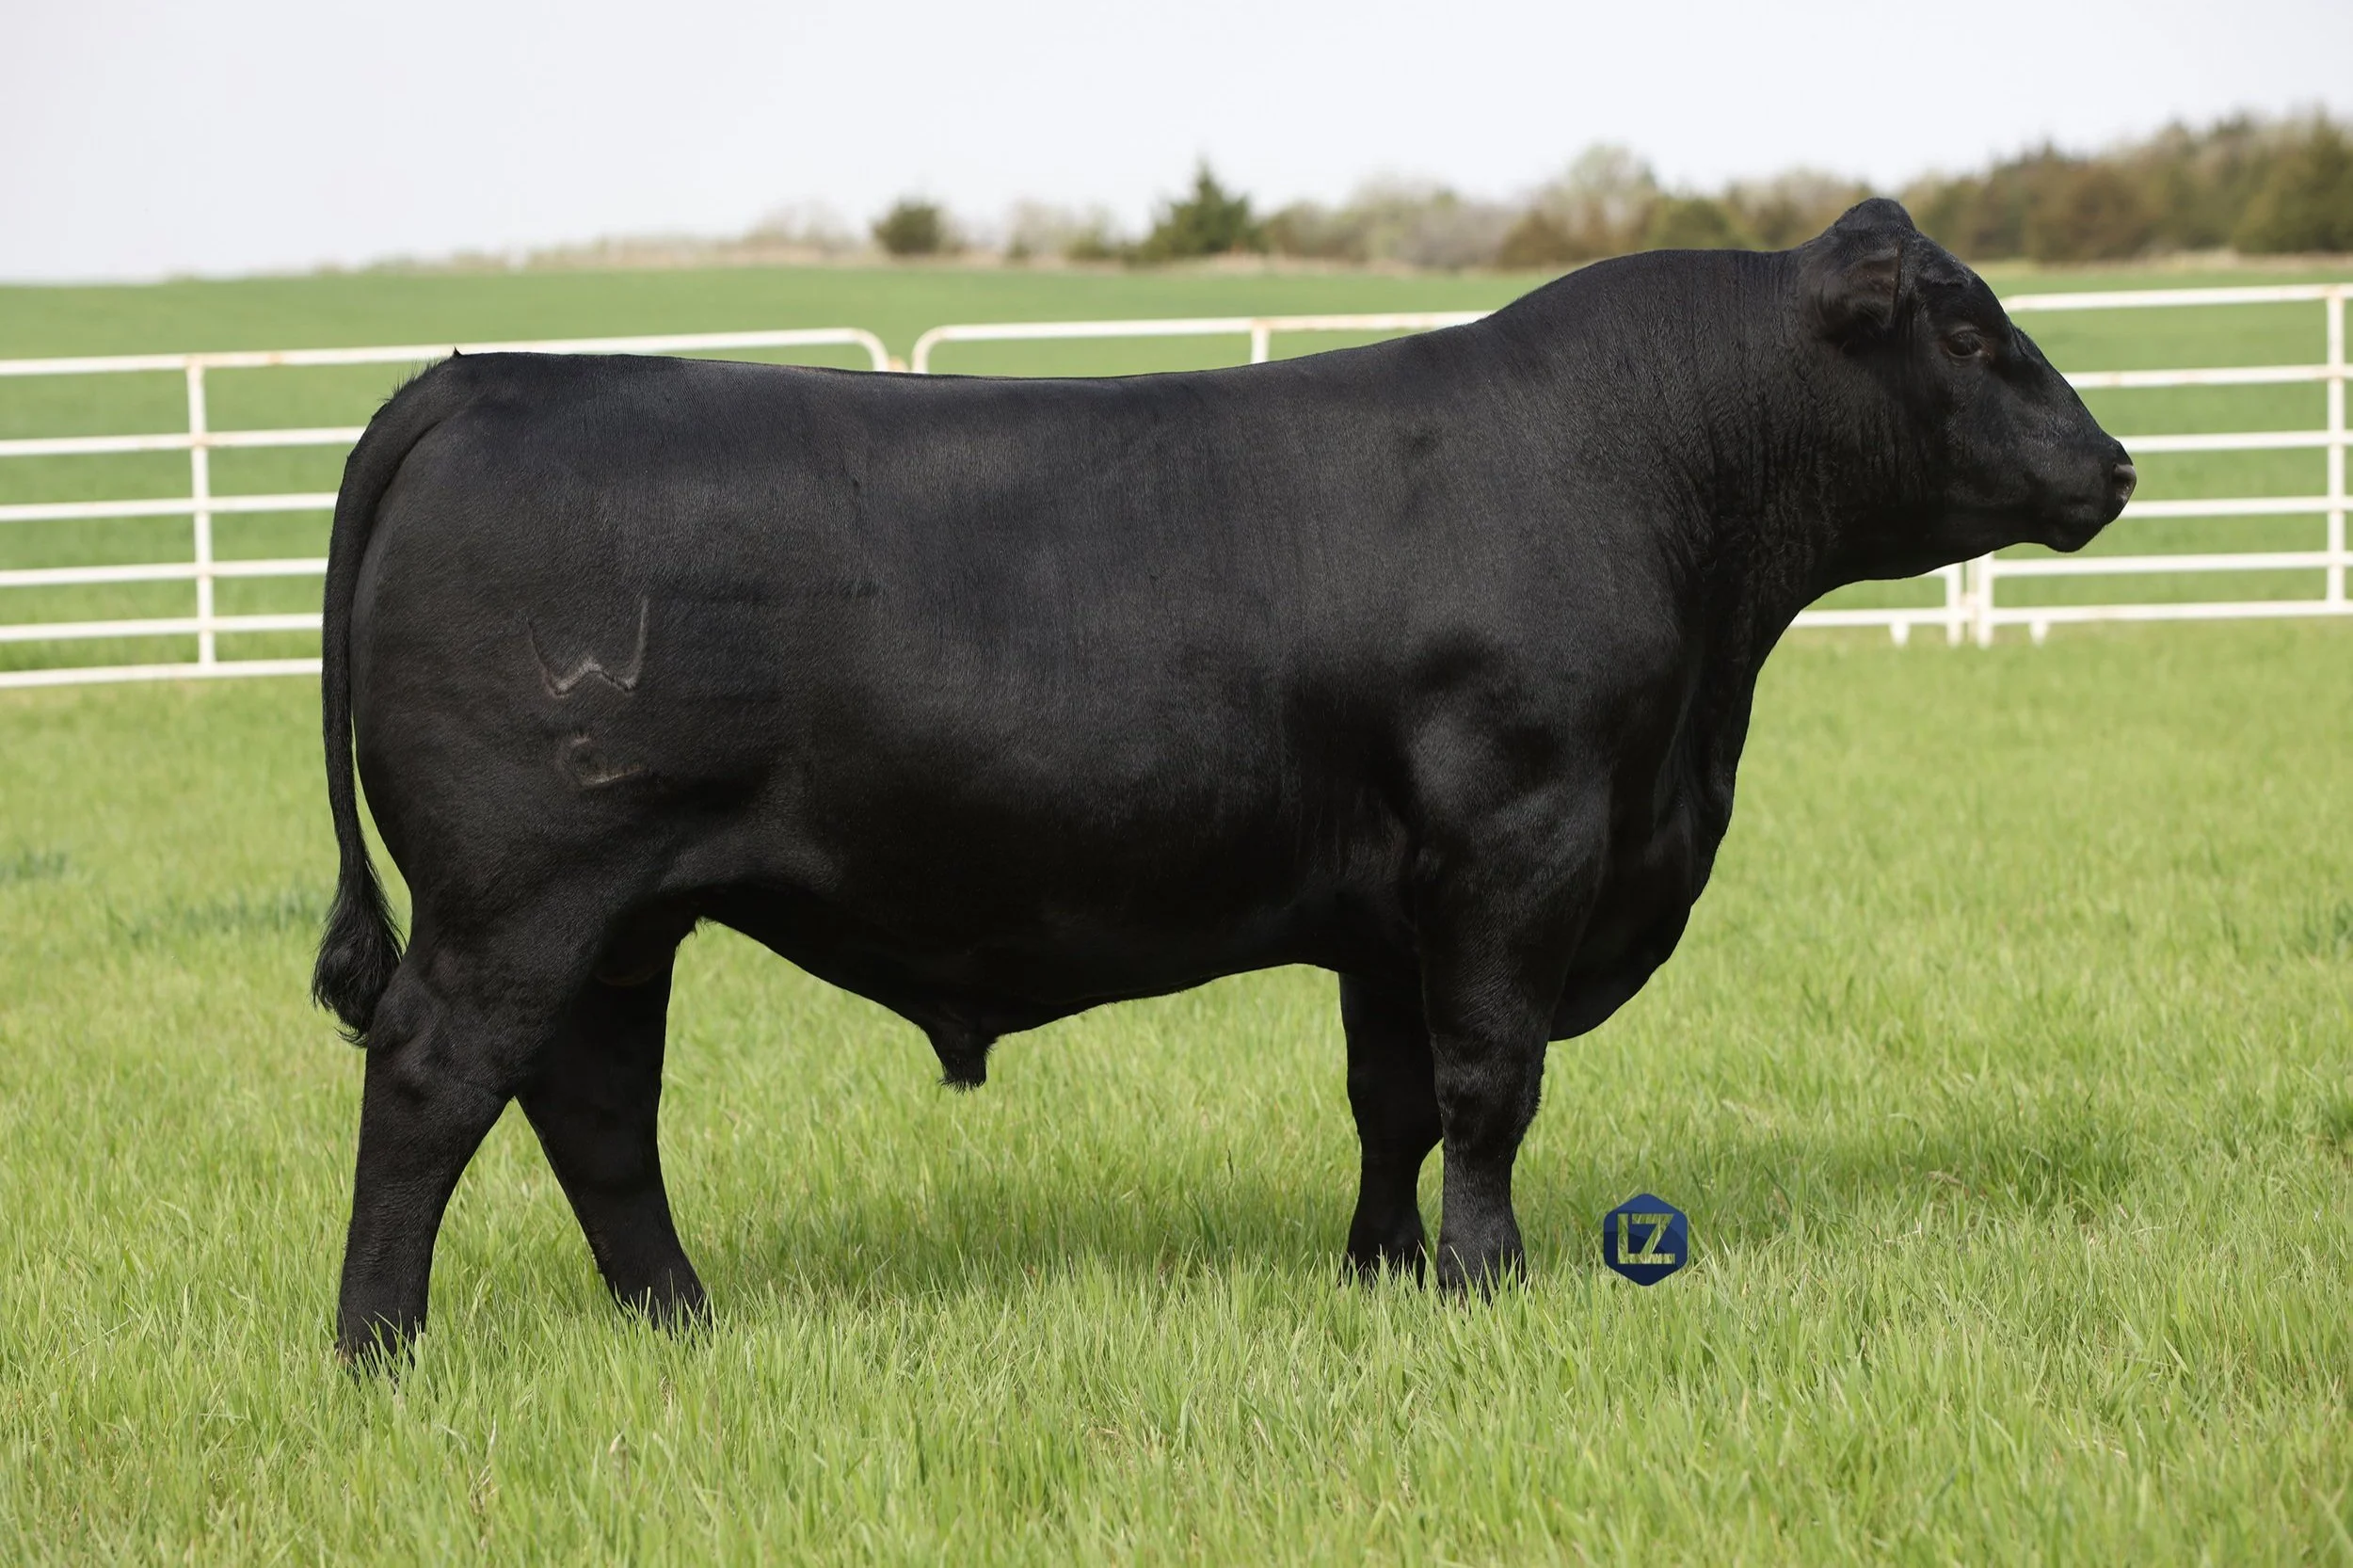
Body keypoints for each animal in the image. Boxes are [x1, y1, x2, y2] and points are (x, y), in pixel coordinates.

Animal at [312, 200, 2133, 1359]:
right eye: (1972, 331)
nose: (2115, 464)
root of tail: (483, 377)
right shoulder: (1521, 841)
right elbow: (1493, 1083)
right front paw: (1487, 1286)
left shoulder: (1397, 908)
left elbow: (1395, 1098)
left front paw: (1382, 1277)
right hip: (519, 890)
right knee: (436, 1079)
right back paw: (379, 1350)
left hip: (625, 917)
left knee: (595, 1107)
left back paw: (680, 1322)